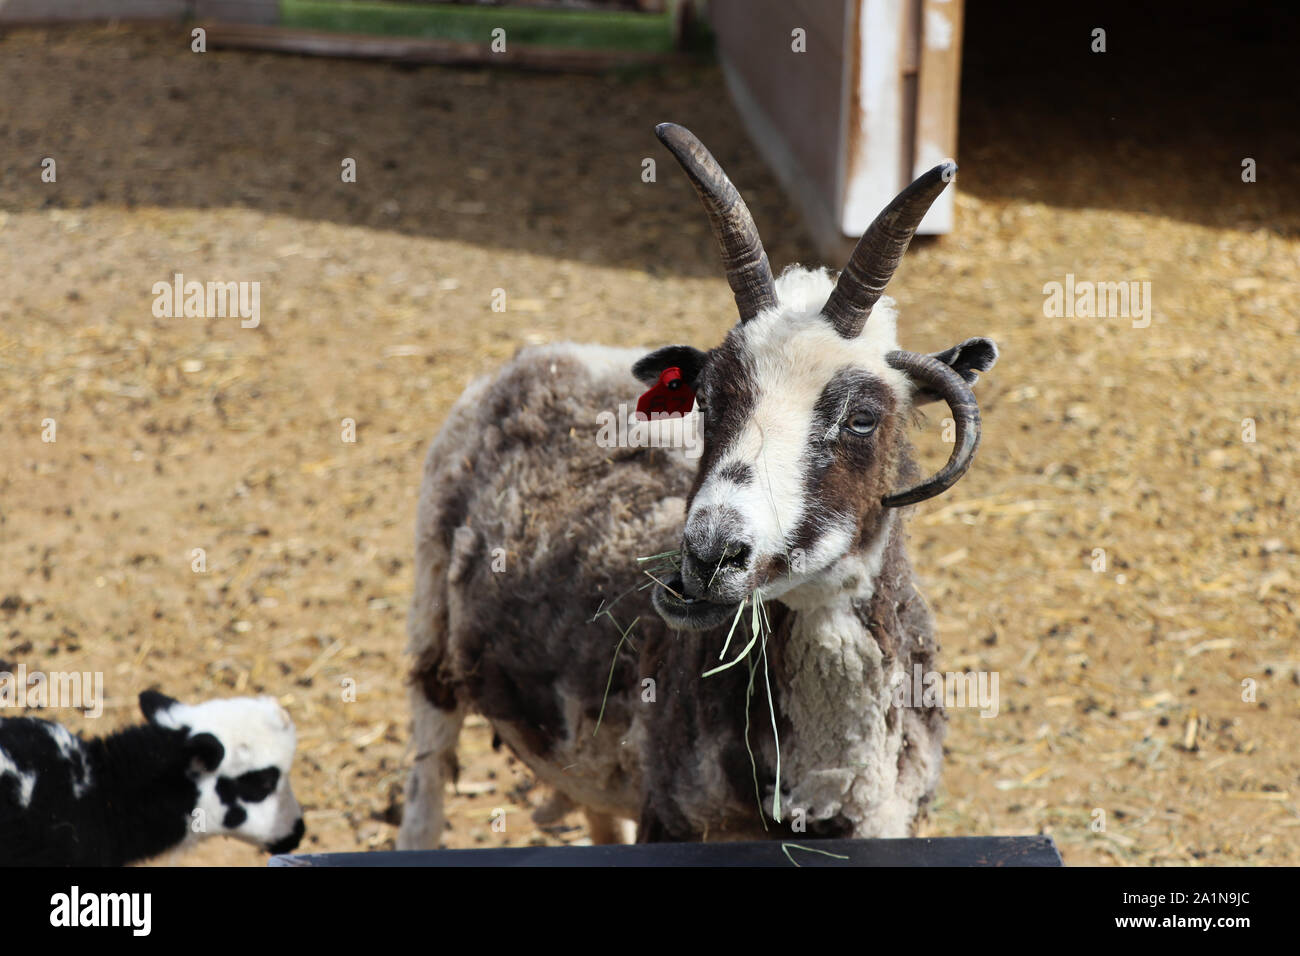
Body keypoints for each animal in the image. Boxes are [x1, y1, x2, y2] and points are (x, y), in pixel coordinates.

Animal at [398, 124, 998, 846]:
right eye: (707, 403)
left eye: (862, 418)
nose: (709, 557)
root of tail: (543, 354)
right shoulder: (674, 814)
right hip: (431, 631)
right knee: (426, 782)